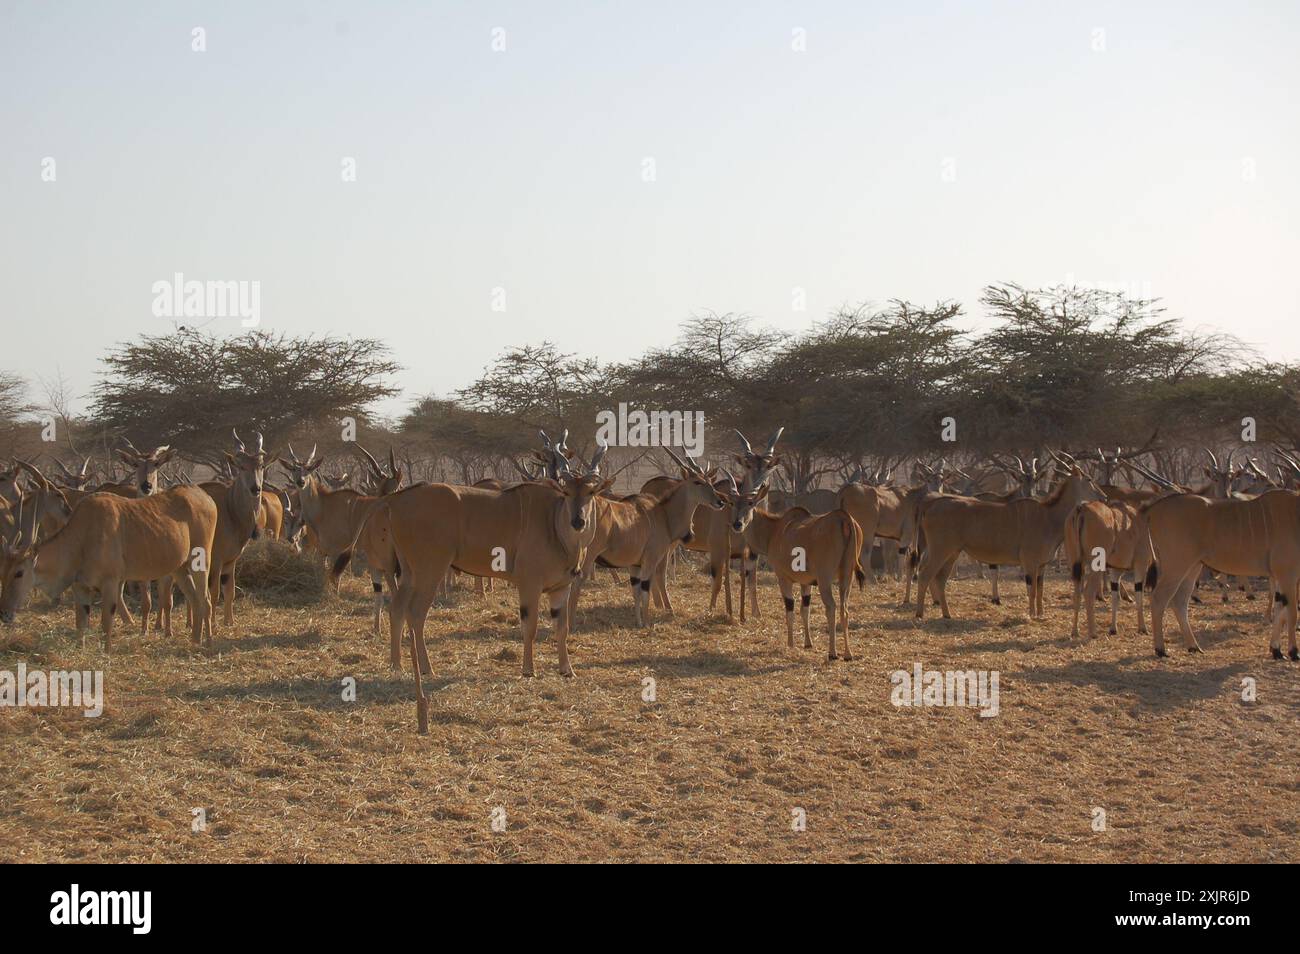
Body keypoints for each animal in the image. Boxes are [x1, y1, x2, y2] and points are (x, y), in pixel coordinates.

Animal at [0, 485, 216, 647]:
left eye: (19, 573)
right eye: (3, 573)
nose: (4, 614)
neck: (83, 536)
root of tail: (207, 498)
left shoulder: (111, 583)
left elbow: (106, 624)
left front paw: (107, 652)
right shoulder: (81, 587)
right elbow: (81, 625)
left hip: (201, 562)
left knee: (205, 599)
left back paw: (208, 642)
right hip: (180, 568)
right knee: (195, 599)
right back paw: (195, 641)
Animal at [384, 444, 610, 733]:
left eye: (591, 492)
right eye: (567, 492)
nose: (578, 521)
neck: (554, 523)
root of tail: (396, 502)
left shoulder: (561, 588)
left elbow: (562, 627)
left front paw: (566, 669)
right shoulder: (529, 585)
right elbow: (530, 627)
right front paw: (528, 670)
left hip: (410, 572)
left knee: (397, 608)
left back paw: (396, 664)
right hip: (430, 571)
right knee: (415, 614)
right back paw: (426, 669)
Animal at [723, 474, 865, 659]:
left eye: (750, 503)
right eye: (732, 503)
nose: (737, 524)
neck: (774, 530)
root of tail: (844, 518)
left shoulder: (784, 578)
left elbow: (790, 608)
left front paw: (790, 644)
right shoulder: (806, 583)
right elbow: (805, 609)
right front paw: (808, 643)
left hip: (825, 580)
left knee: (831, 607)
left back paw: (832, 653)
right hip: (846, 578)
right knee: (844, 608)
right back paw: (848, 653)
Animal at [914, 464, 1104, 620]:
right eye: (1089, 479)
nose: (1102, 496)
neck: (1048, 515)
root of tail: (929, 505)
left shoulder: (1041, 565)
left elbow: (1040, 590)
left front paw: (1040, 614)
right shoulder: (1030, 562)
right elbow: (1032, 590)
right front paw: (1031, 615)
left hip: (952, 553)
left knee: (939, 579)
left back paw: (947, 614)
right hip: (940, 550)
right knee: (925, 574)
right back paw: (919, 614)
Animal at [1140, 489, 1300, 660]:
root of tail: (1152, 511)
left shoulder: (1280, 577)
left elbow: (1280, 611)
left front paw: (1276, 650)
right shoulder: (1287, 574)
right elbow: (1292, 613)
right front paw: (1293, 652)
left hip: (1192, 567)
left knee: (1179, 601)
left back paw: (1193, 646)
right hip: (1177, 566)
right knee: (1159, 598)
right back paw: (1161, 650)